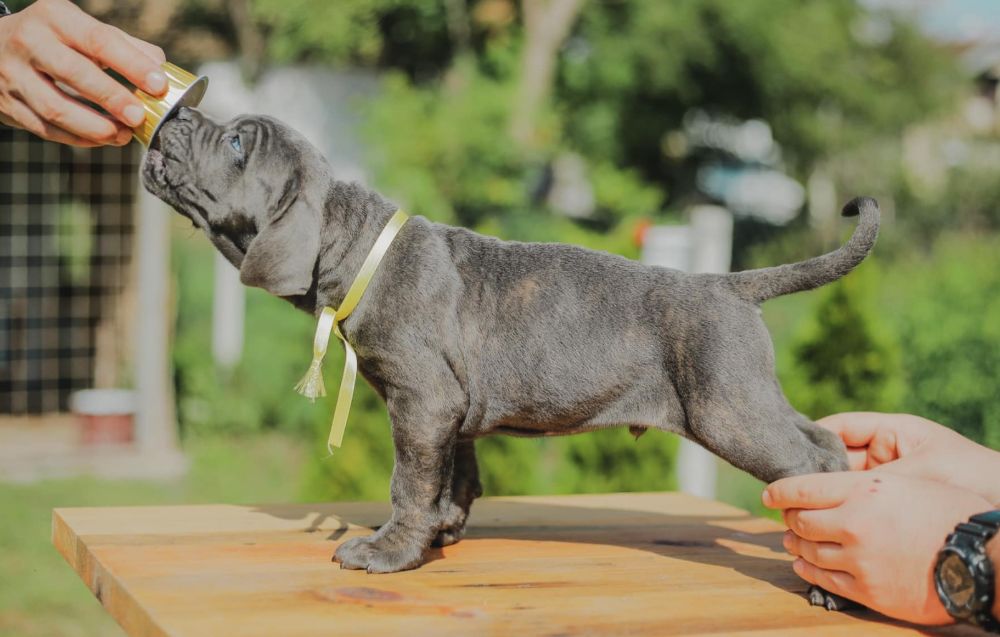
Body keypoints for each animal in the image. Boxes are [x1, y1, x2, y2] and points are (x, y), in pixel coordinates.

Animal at [141, 108, 876, 588]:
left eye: (237, 141)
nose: (179, 110)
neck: (358, 249)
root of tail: (730, 283)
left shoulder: (422, 400)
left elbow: (410, 481)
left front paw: (388, 553)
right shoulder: (449, 411)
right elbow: (453, 480)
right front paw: (437, 534)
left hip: (728, 410)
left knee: (812, 462)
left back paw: (831, 568)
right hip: (753, 396)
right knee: (825, 438)